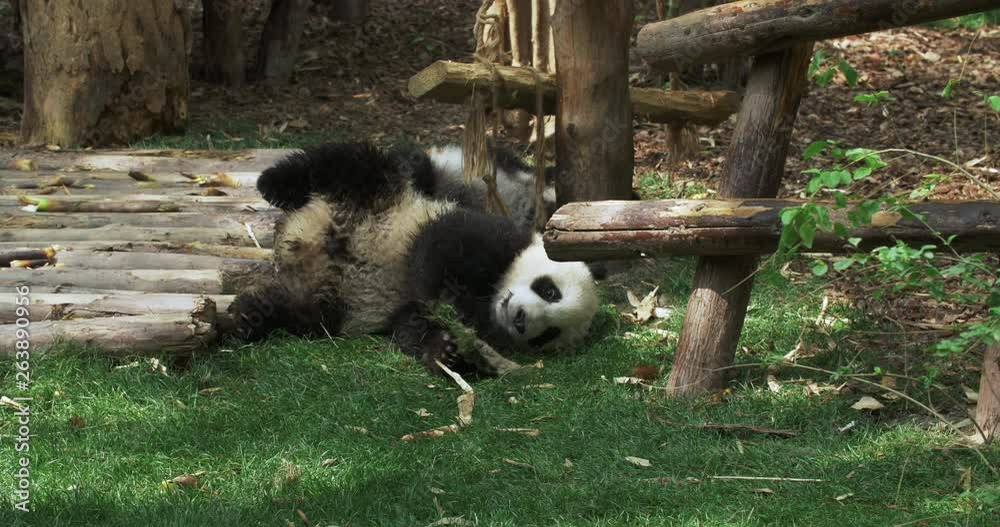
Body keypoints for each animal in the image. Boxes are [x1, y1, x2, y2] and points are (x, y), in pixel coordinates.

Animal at [229, 141, 601, 376]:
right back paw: (274, 184)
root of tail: (301, 237)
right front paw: (451, 308)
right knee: (350, 166)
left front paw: (447, 350)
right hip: (379, 197)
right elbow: (436, 251)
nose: (521, 320)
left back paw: (247, 317)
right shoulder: (485, 234)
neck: (495, 294)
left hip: (322, 301)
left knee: (295, 311)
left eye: (548, 334)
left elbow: (412, 325)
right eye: (549, 291)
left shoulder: (407, 308)